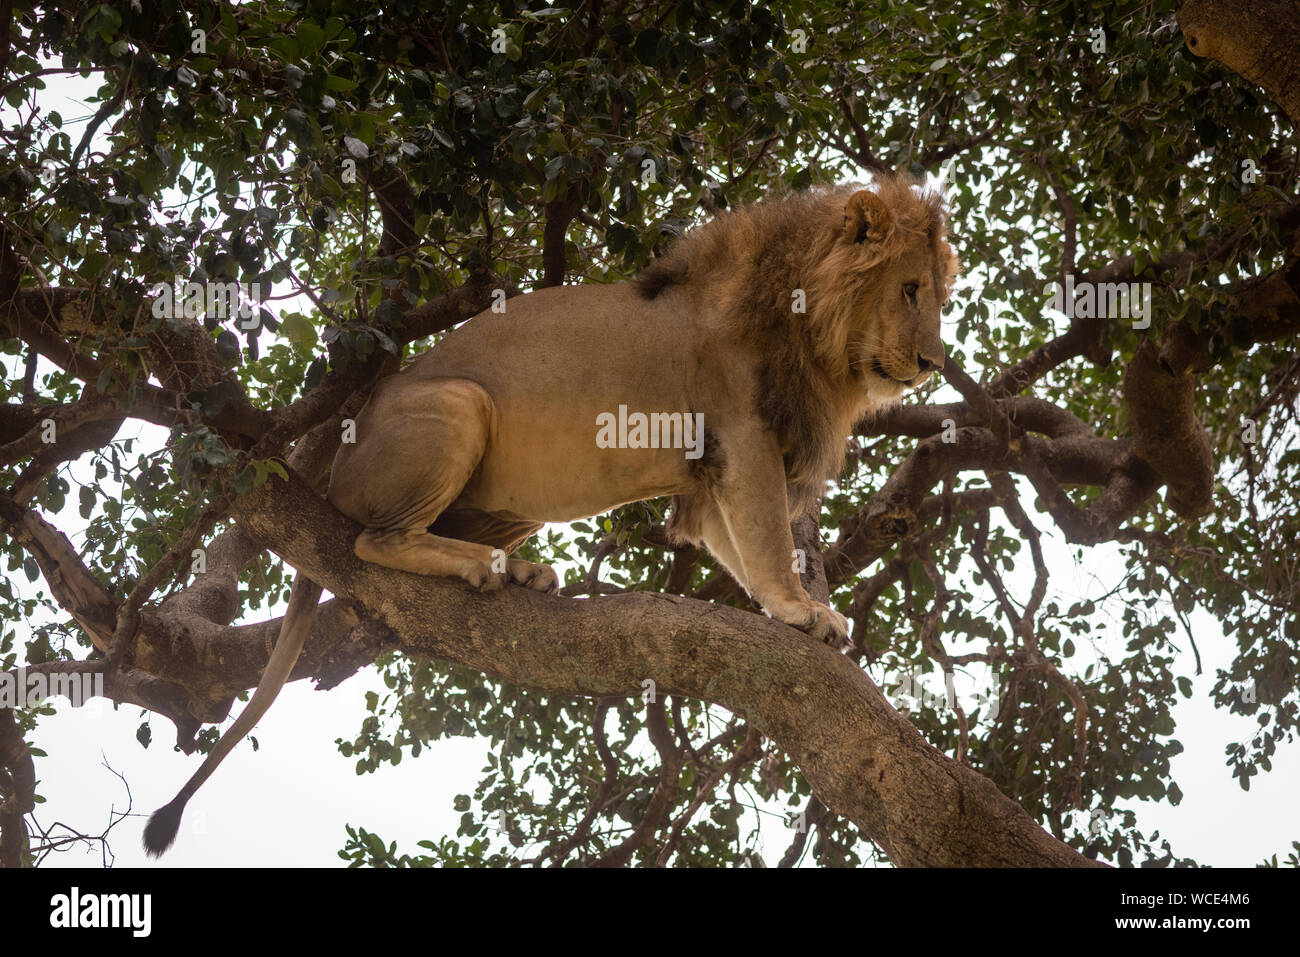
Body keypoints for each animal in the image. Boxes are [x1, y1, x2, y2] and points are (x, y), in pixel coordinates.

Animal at [143, 172, 959, 855]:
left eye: (938, 295)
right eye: (911, 289)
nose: (934, 364)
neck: (810, 325)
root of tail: (338, 461)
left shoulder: (713, 471)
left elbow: (739, 546)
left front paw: (780, 606)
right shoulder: (742, 434)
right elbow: (764, 536)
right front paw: (799, 610)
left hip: (511, 500)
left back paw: (523, 570)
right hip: (462, 405)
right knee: (376, 541)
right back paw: (481, 567)